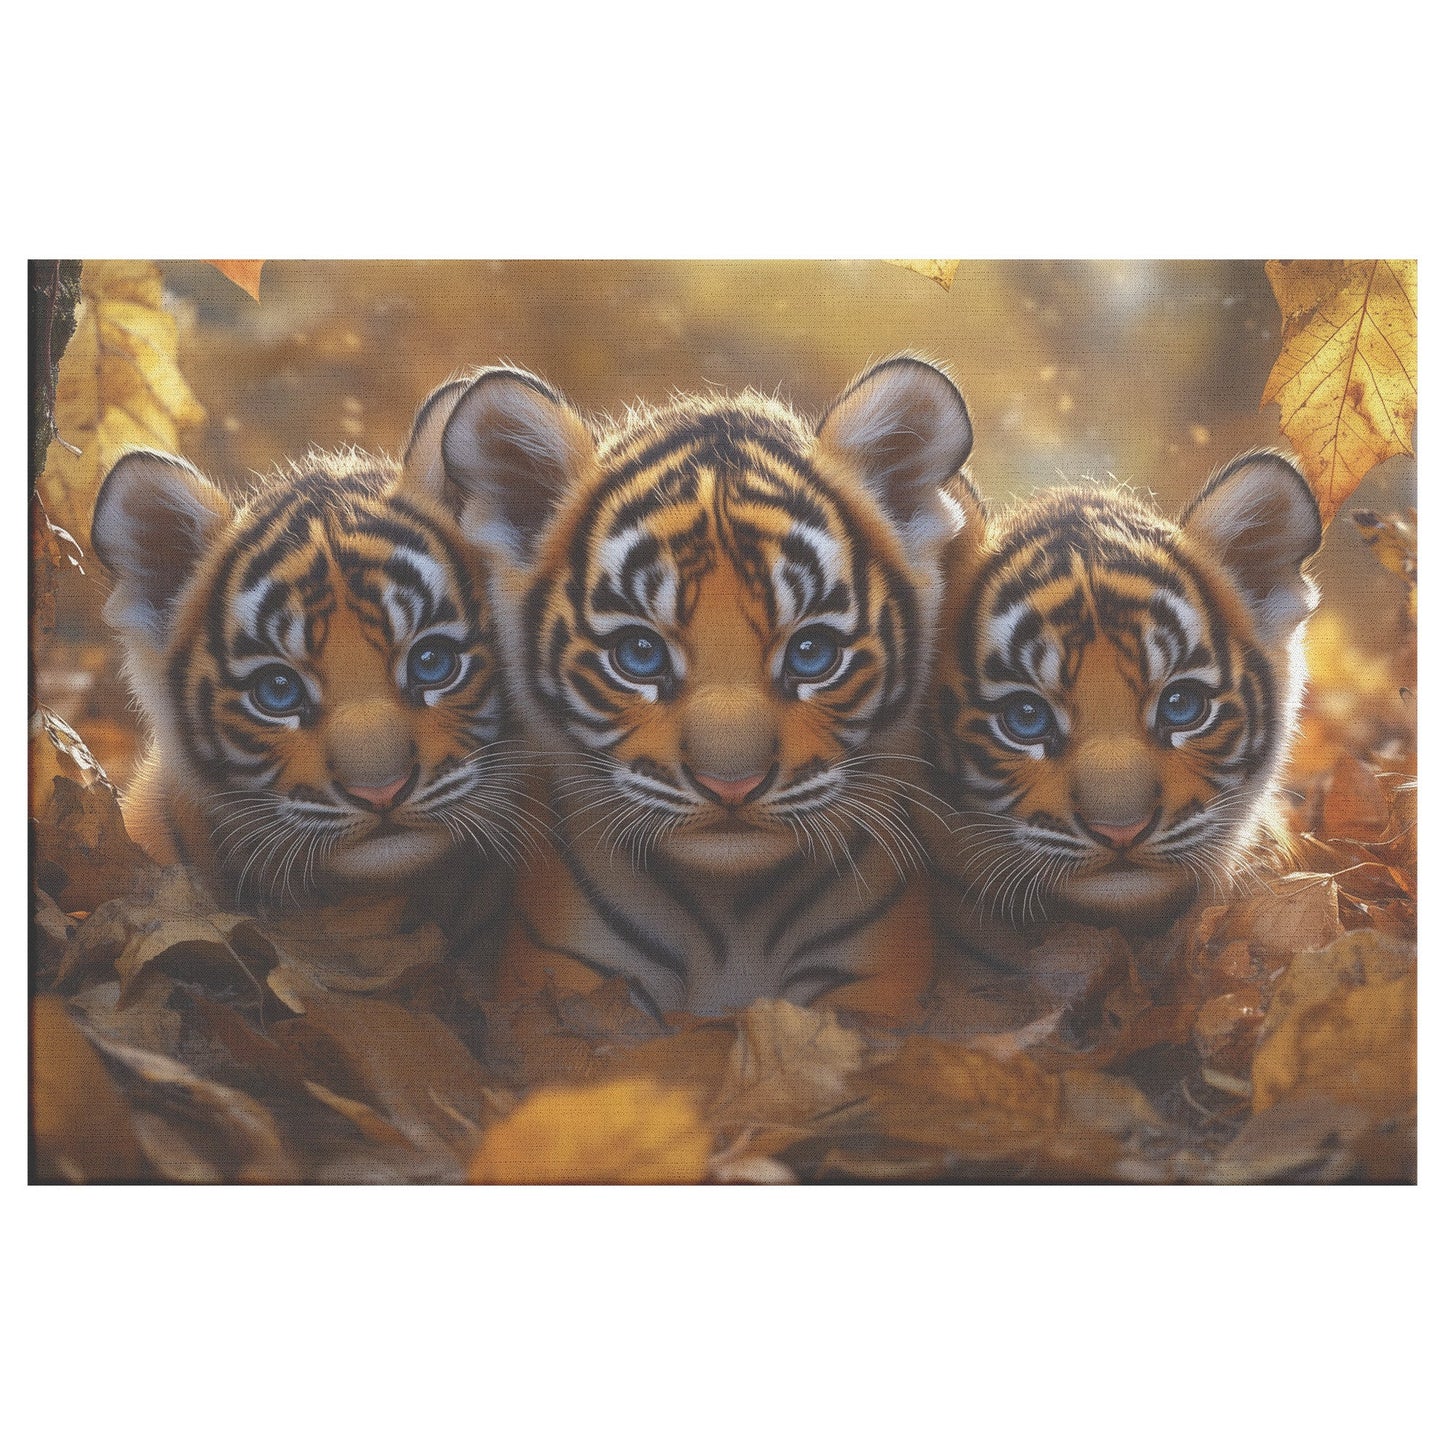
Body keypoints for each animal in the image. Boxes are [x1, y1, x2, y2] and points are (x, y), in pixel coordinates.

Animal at [430, 356, 974, 1020]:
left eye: (812, 653)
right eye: (639, 655)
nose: (730, 785)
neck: (728, 909)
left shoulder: (874, 976)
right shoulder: (570, 973)